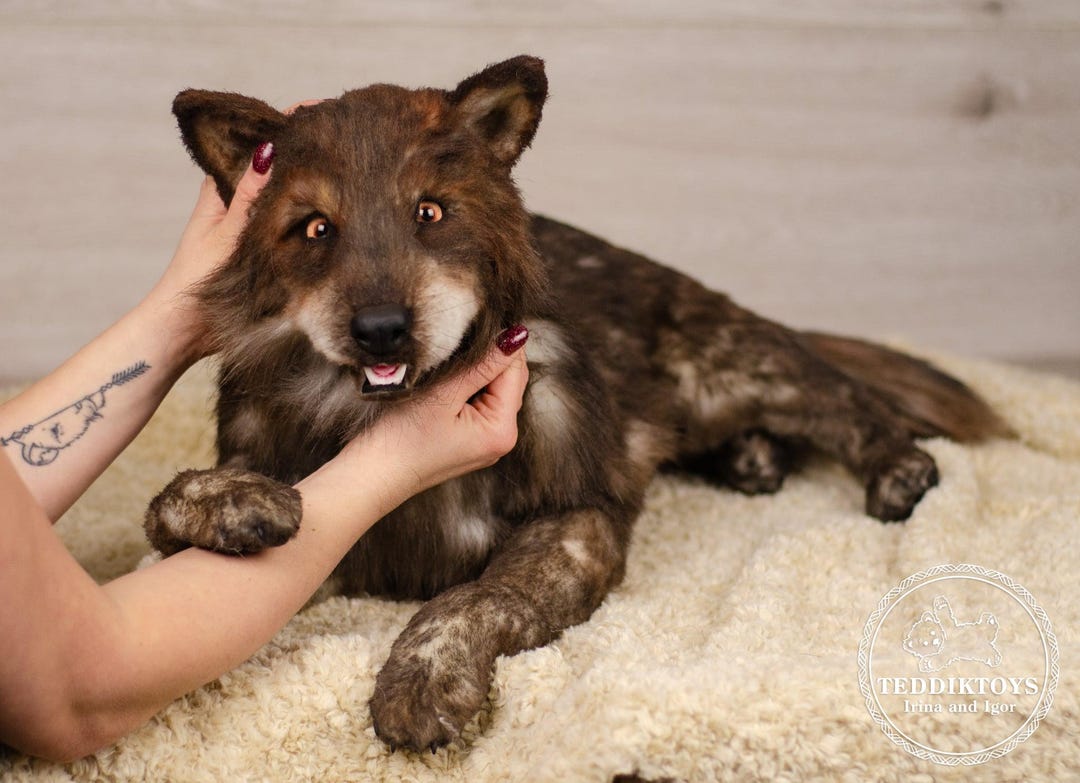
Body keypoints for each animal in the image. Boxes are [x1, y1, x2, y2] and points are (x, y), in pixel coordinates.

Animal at [144, 55, 1008, 752]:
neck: (371, 416)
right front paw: (238, 498)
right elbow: (165, 509)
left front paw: (421, 682)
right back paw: (753, 459)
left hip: (734, 367)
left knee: (844, 396)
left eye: (431, 212)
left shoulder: (578, 518)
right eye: (315, 227)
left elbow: (474, 594)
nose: (381, 329)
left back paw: (895, 469)